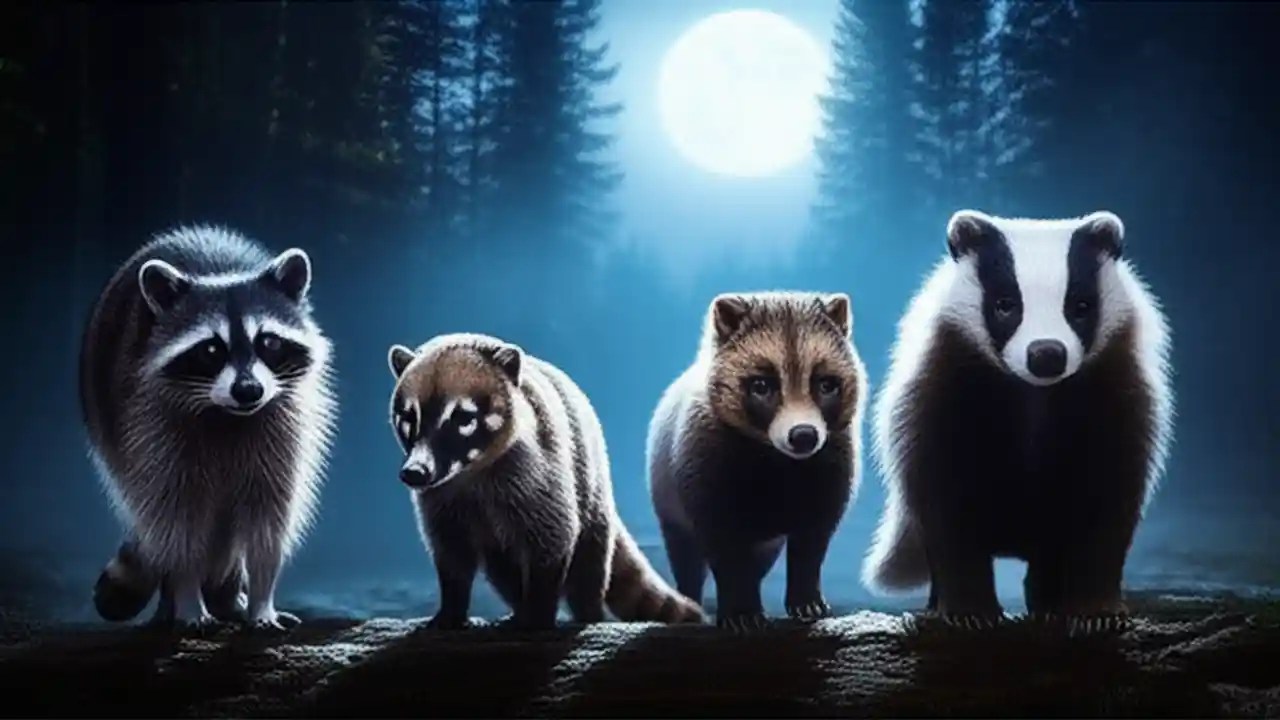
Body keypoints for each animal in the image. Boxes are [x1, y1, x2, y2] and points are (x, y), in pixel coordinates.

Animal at [80, 225, 336, 632]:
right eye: (211, 350)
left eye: (268, 342)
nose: (248, 390)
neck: (230, 416)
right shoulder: (151, 430)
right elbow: (177, 525)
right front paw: (187, 599)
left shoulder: (284, 431)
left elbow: (268, 526)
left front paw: (262, 600)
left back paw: (227, 594)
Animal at [388, 333, 704, 630]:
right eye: (409, 417)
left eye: (463, 418)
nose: (414, 472)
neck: (473, 470)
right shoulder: (439, 502)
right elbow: (451, 554)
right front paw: (451, 611)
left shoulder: (541, 473)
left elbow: (553, 539)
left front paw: (539, 614)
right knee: (503, 571)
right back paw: (518, 608)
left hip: (590, 487)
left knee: (589, 564)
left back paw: (587, 613)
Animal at [647, 292, 867, 630]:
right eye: (761, 386)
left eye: (826, 384)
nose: (804, 435)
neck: (776, 458)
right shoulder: (703, 460)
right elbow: (723, 544)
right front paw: (740, 610)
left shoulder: (833, 461)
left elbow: (813, 538)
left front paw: (806, 599)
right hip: (668, 497)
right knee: (685, 555)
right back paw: (690, 597)